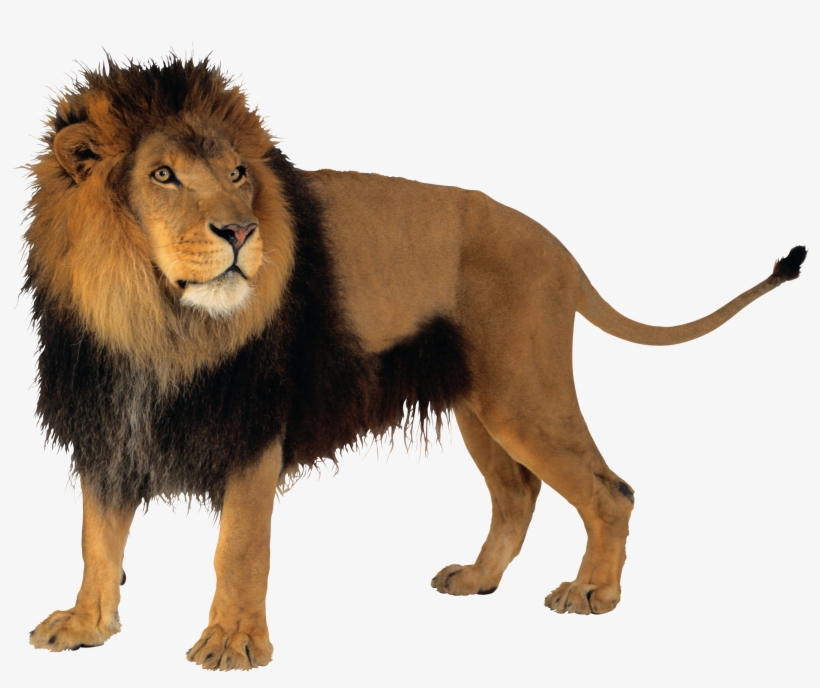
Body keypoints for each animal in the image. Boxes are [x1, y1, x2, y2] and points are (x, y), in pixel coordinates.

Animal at [24, 57, 806, 671]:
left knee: (609, 490)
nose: (241, 232)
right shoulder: (109, 424)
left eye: (238, 173)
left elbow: (239, 547)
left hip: (524, 392)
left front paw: (234, 645)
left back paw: (593, 593)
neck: (152, 317)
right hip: (481, 405)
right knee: (517, 493)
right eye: (162, 175)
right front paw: (86, 626)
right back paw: (478, 579)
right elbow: (97, 538)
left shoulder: (255, 425)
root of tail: (559, 249)